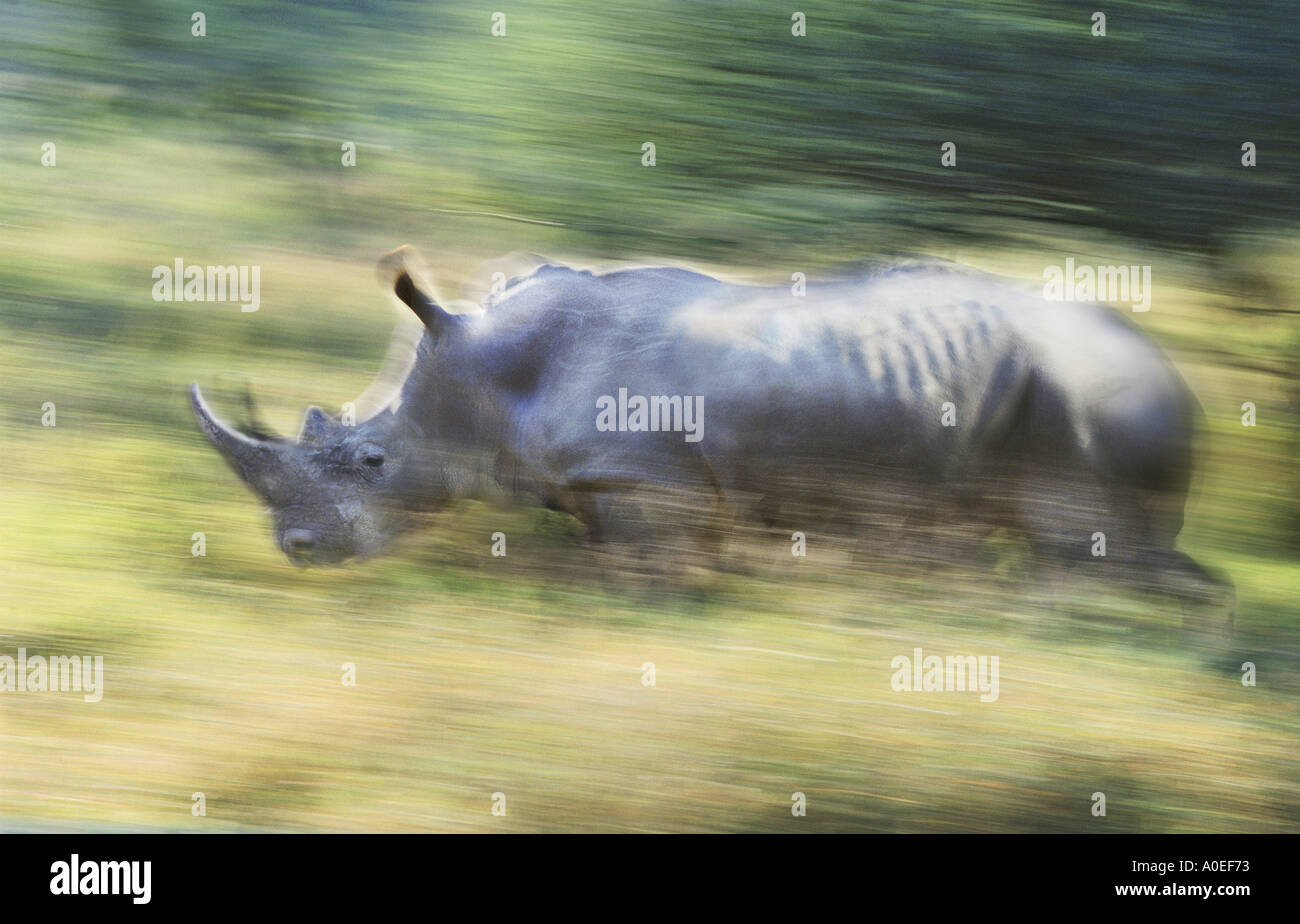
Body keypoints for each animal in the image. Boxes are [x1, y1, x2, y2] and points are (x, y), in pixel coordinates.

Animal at [191, 246, 1231, 611]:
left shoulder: (646, 481)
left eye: (372, 460)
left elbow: (643, 585)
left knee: (1084, 551)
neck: (483, 379)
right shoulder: (602, 486)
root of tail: (1175, 370)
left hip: (1094, 402)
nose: (297, 550)